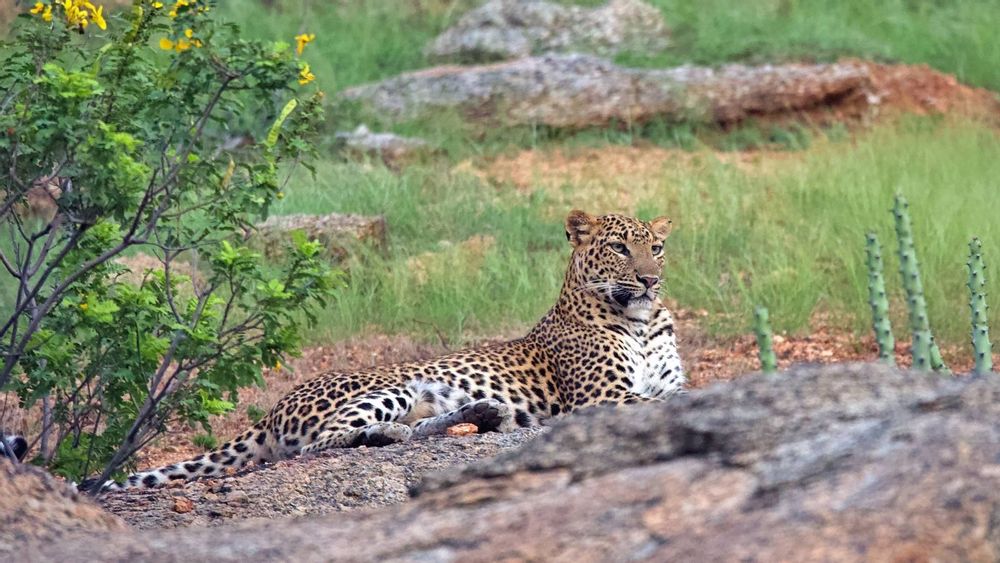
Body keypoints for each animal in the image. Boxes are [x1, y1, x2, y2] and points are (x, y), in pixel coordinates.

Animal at [93, 210, 685, 491]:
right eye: (619, 248)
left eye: (656, 248)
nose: (651, 280)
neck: (641, 321)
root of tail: (273, 409)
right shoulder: (601, 398)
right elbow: (664, 403)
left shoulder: (661, 383)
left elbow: (676, 394)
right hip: (389, 385)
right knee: (321, 444)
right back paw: (391, 433)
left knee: (426, 424)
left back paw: (483, 415)